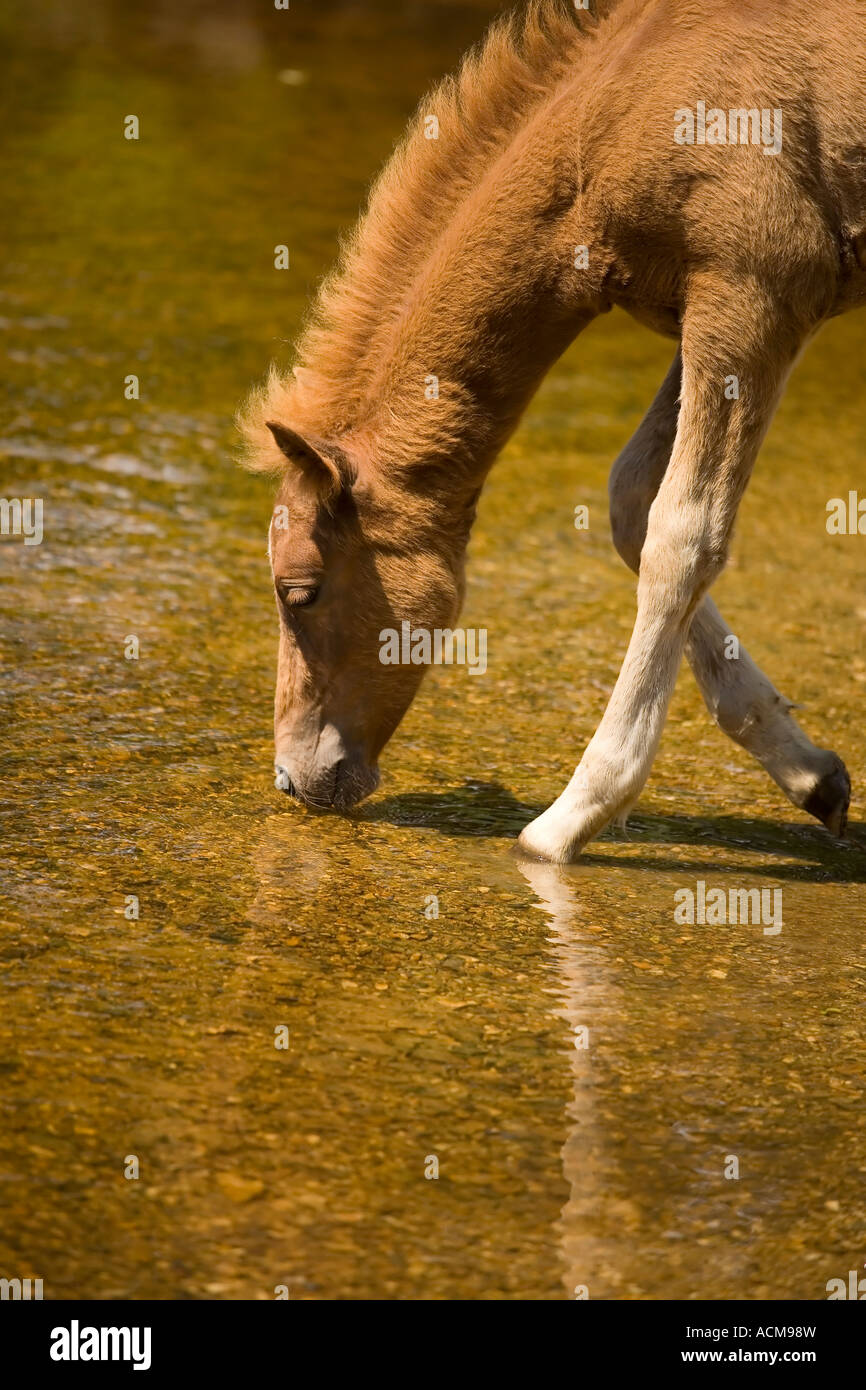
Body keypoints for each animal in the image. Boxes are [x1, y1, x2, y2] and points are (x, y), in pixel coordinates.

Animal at [240, 0, 865, 862]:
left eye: (297, 590)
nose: (291, 779)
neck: (615, 118)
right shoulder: (700, 316)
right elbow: (633, 501)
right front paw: (811, 774)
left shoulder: (754, 298)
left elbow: (682, 536)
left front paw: (570, 818)